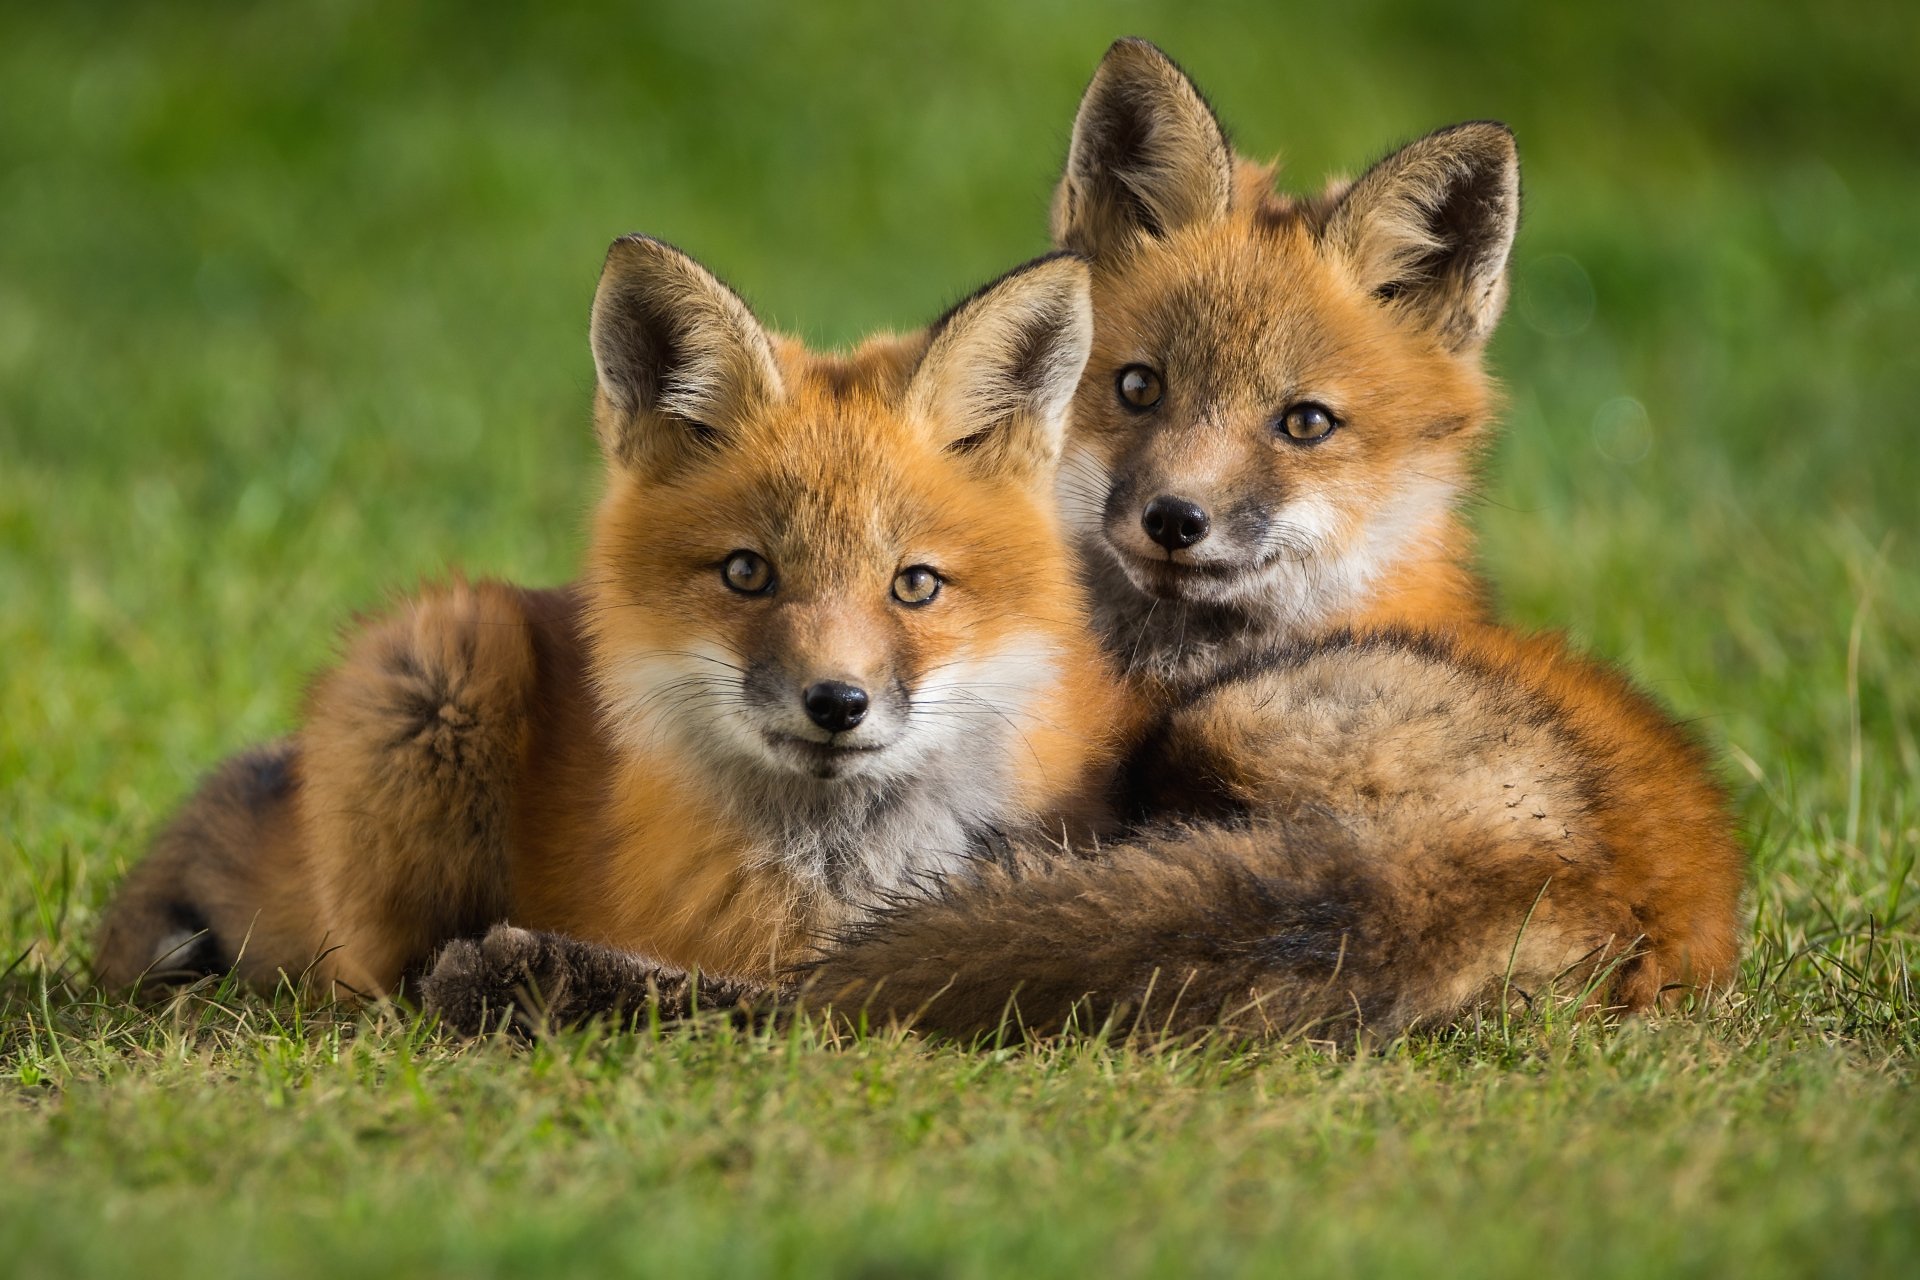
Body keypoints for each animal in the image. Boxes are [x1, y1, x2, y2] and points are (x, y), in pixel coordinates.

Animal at [420, 40, 1745, 1042]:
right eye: (1138, 387)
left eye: (1304, 422)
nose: (1176, 520)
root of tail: (1537, 866)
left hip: (1227, 732)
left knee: (818, 1002)